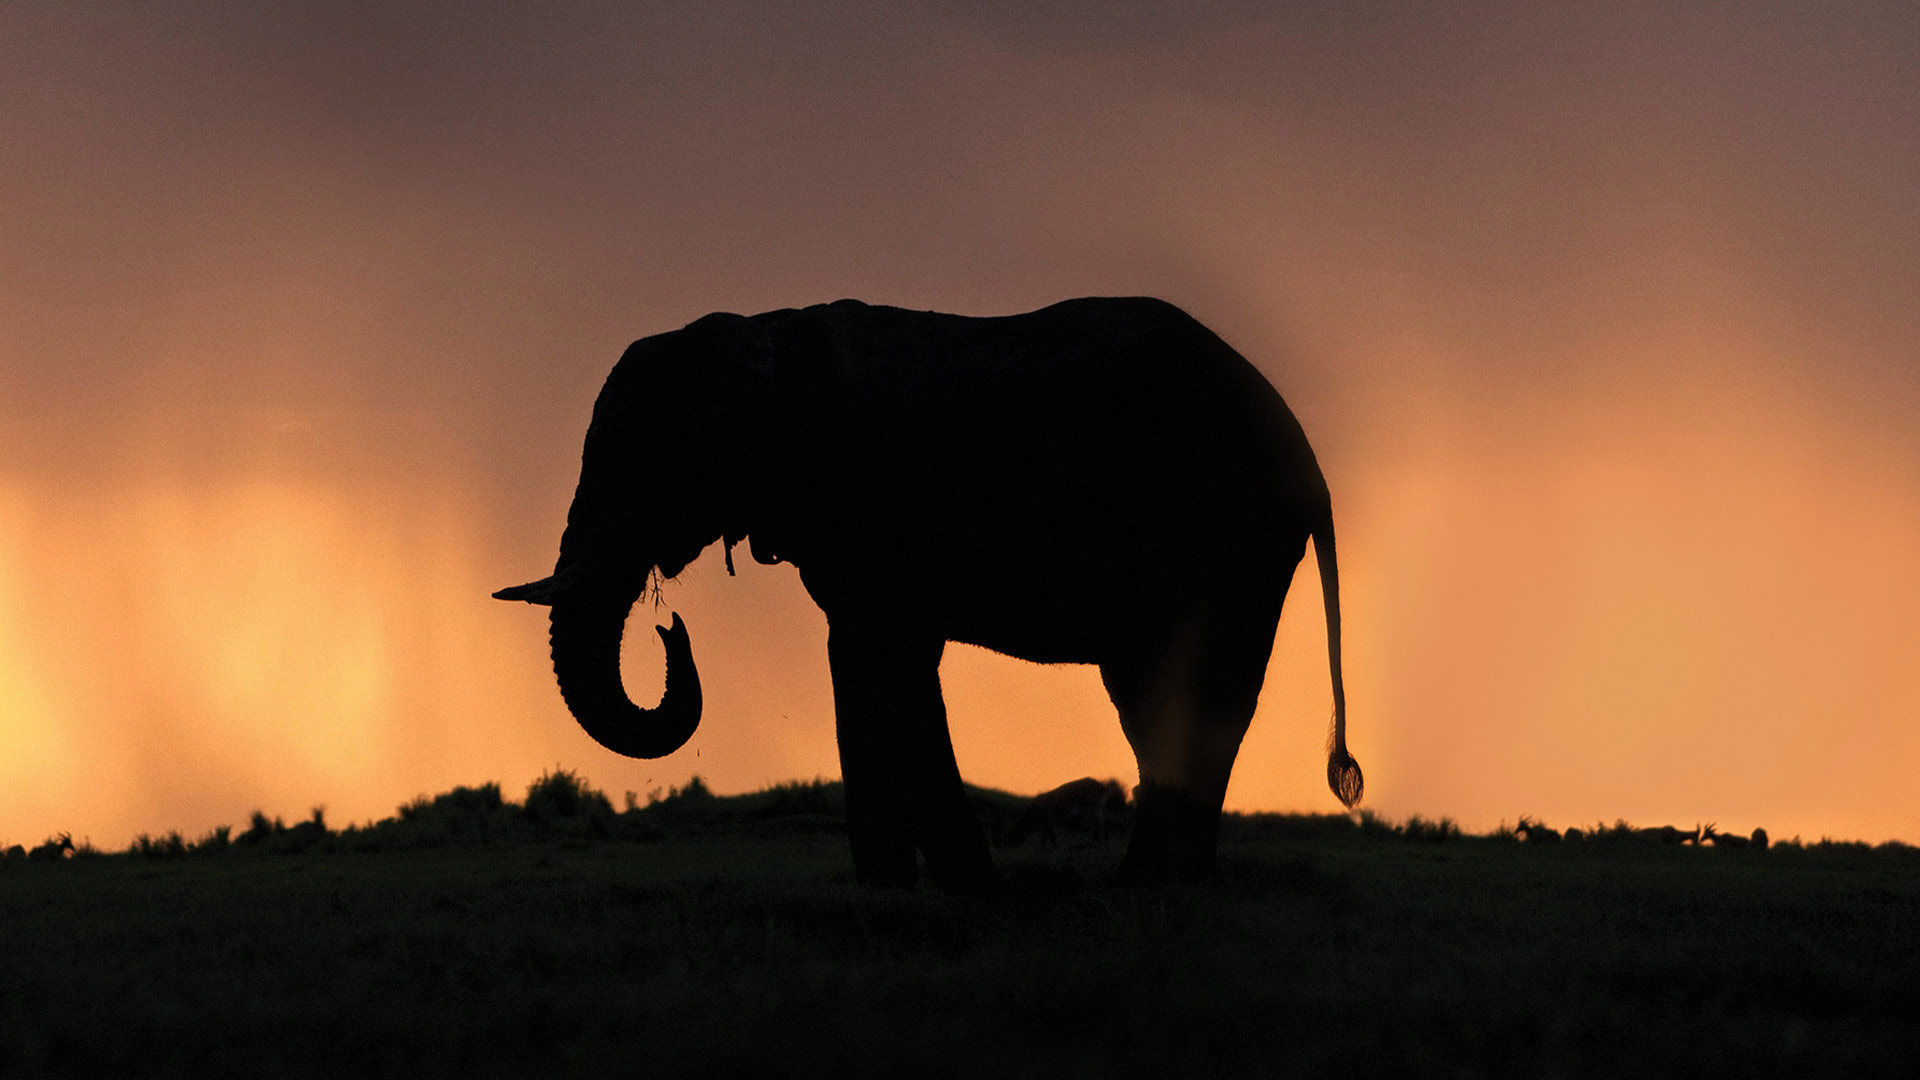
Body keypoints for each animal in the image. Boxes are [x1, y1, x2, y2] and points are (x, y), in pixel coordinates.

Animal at [496, 296, 1360, 889]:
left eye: (647, 467)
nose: (670, 628)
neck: (764, 330)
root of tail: (1312, 467)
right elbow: (862, 665)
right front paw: (894, 891)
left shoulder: (876, 511)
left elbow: (891, 662)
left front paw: (963, 891)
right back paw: (1162, 885)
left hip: (1224, 540)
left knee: (1184, 696)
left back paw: (1145, 889)